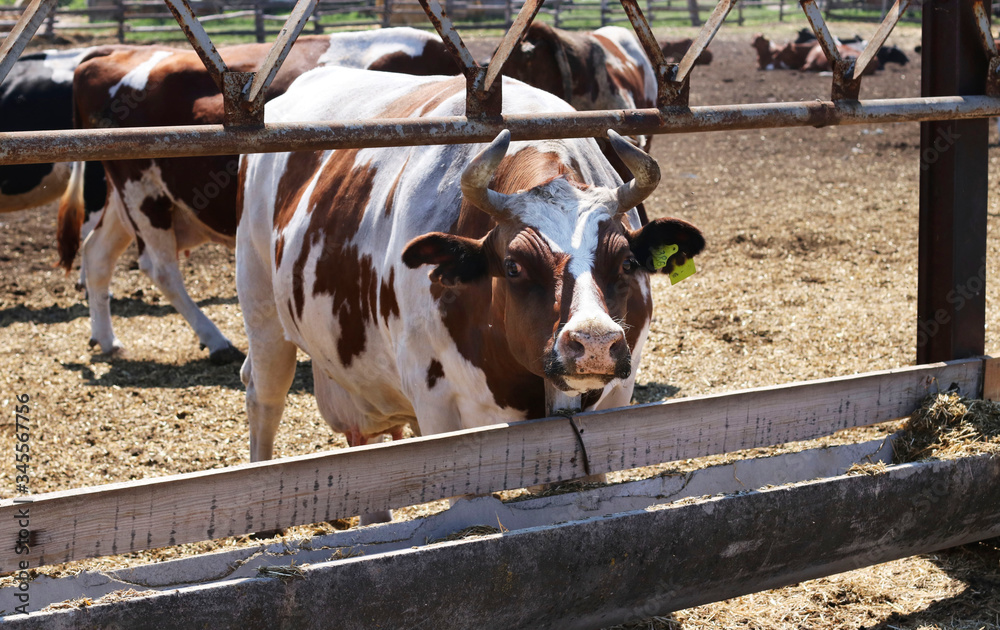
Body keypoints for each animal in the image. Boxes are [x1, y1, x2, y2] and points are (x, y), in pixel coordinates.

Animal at [58, 29, 461, 364]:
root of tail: (111, 55)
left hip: (127, 196)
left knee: (97, 254)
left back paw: (107, 339)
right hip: (142, 190)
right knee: (159, 267)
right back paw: (216, 341)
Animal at [236, 68, 704, 484]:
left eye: (626, 262)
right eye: (513, 266)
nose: (594, 343)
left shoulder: (615, 398)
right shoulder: (437, 410)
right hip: (261, 309)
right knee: (264, 396)